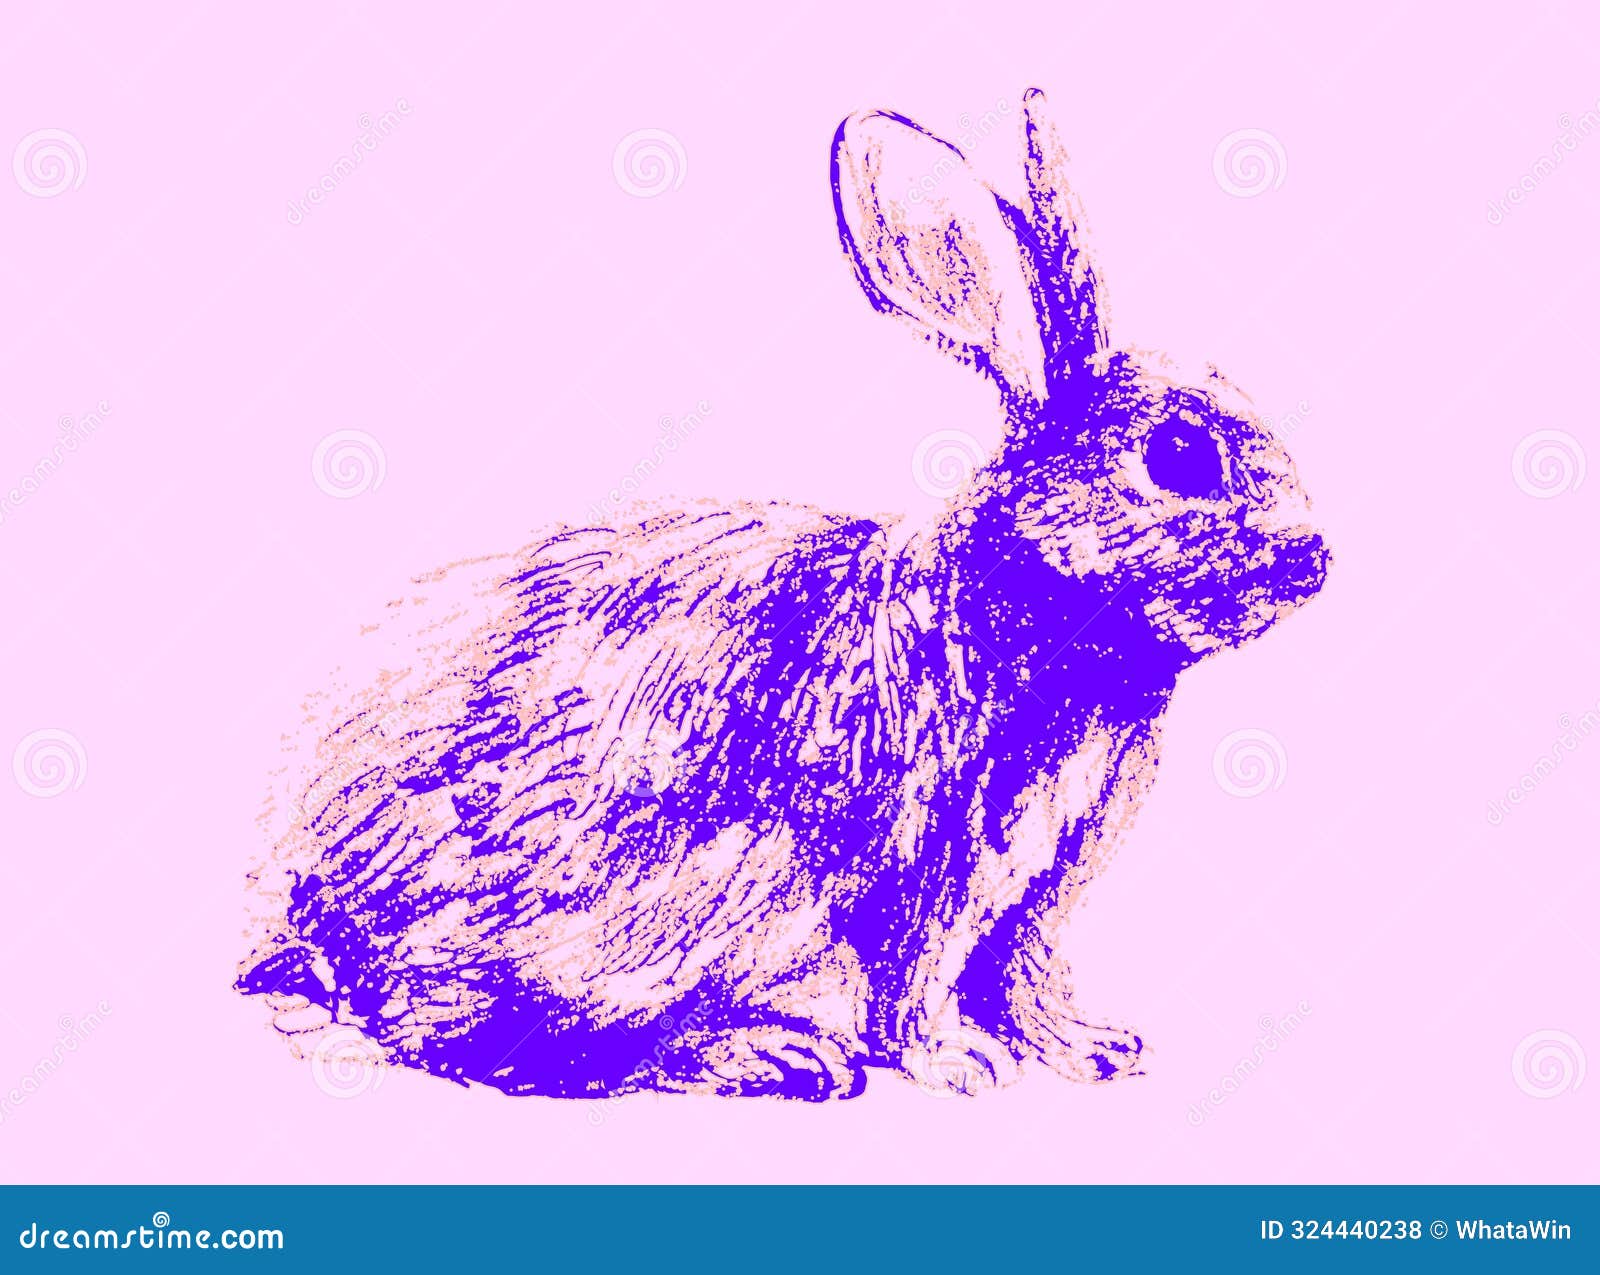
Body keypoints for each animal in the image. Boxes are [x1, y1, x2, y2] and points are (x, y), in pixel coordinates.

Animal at [237, 88, 1328, 1101]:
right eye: (1178, 456)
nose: (1313, 556)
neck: (1035, 600)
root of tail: (312, 904)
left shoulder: (1034, 893)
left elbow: (1022, 975)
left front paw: (1091, 1049)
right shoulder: (934, 858)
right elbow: (918, 979)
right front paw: (960, 1064)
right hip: (669, 910)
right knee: (489, 1037)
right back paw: (774, 1052)